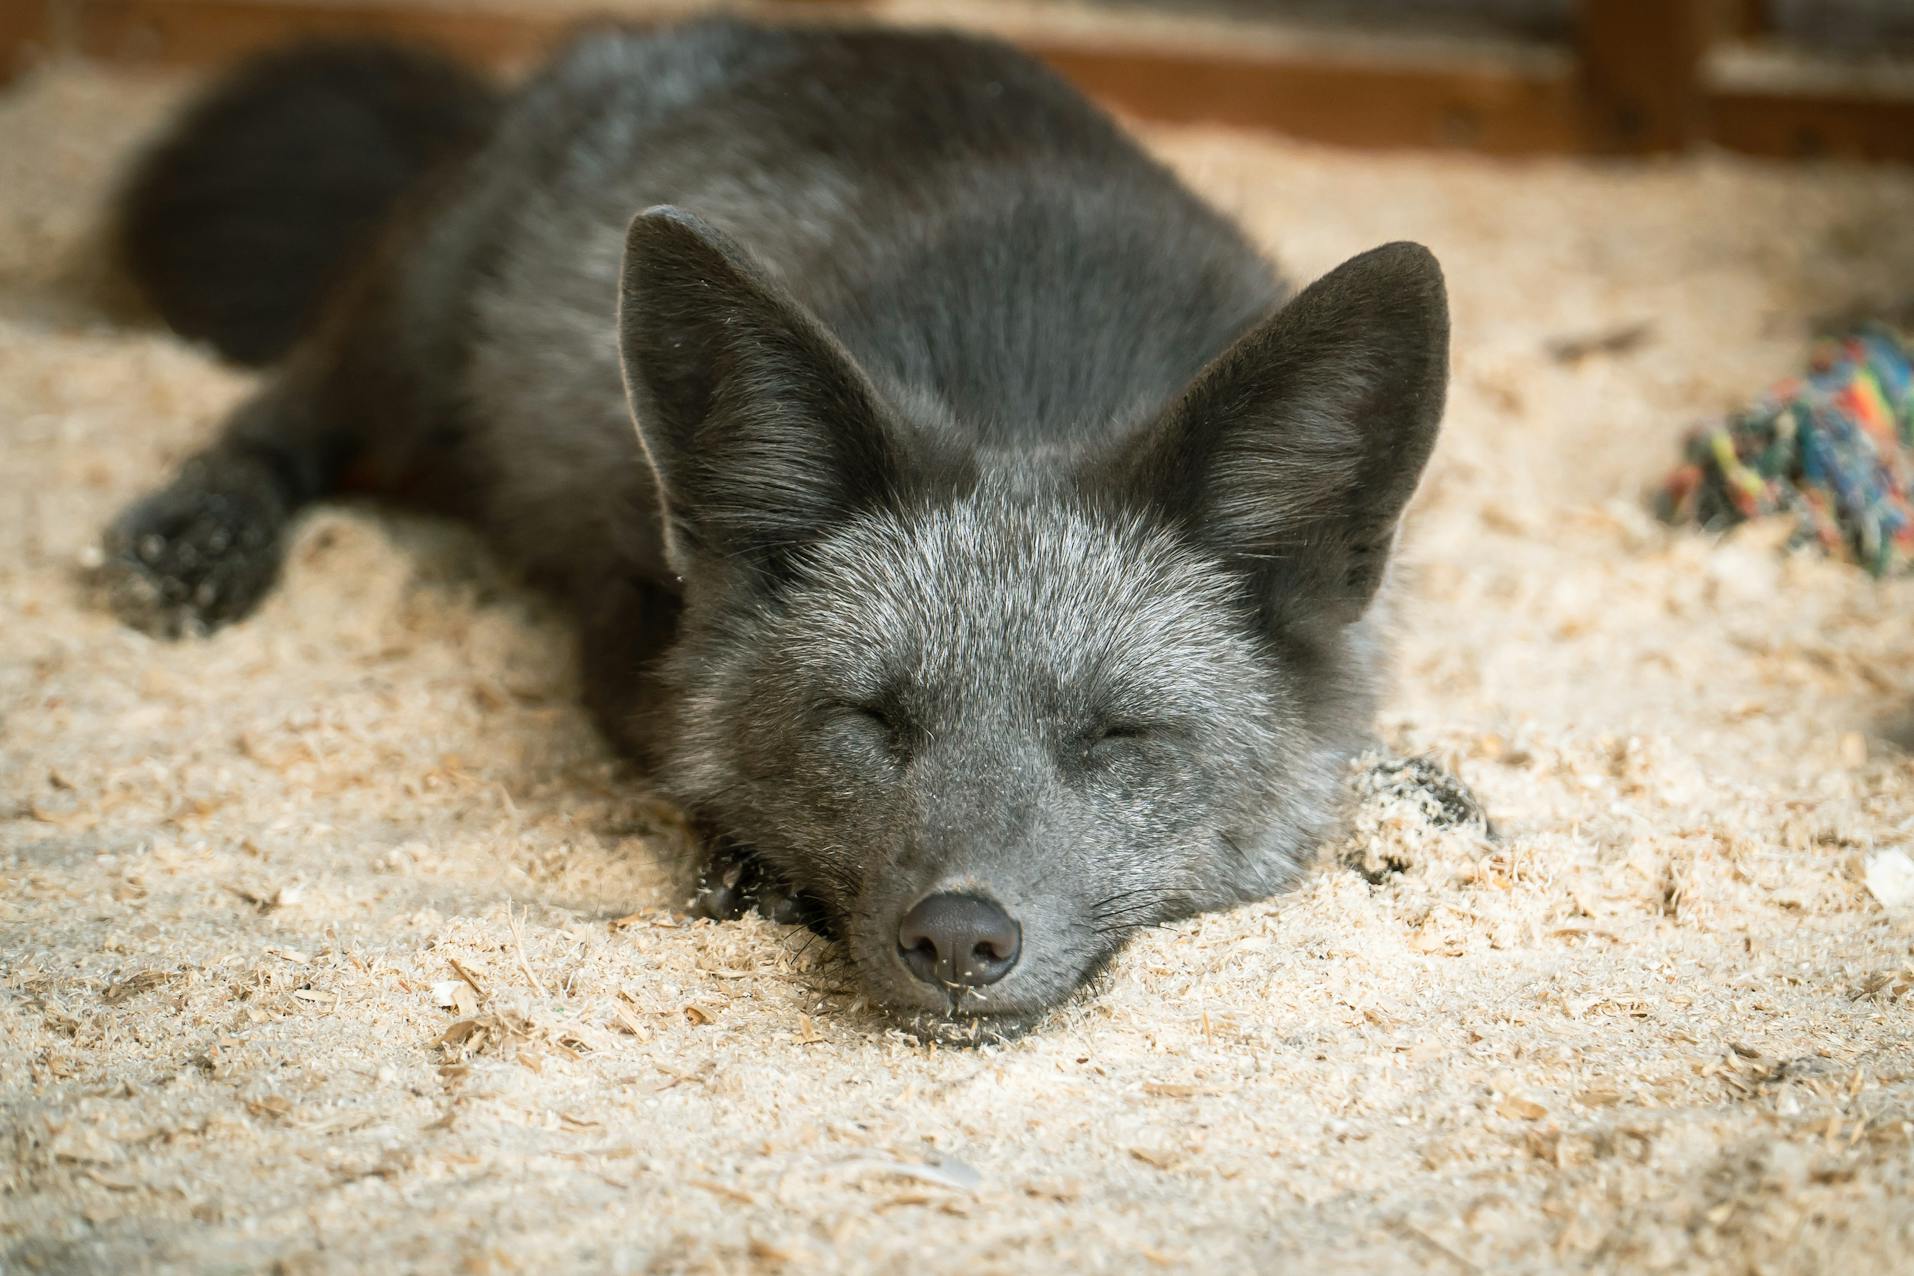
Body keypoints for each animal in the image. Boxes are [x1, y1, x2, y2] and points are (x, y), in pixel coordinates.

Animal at [99, 18, 1451, 1035]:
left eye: (1117, 736)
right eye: (869, 718)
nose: (960, 938)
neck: (1031, 386)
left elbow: (1368, 749)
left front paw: (1418, 801)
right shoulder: (626, 609)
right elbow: (684, 747)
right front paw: (750, 859)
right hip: (416, 345)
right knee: (282, 408)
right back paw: (196, 538)